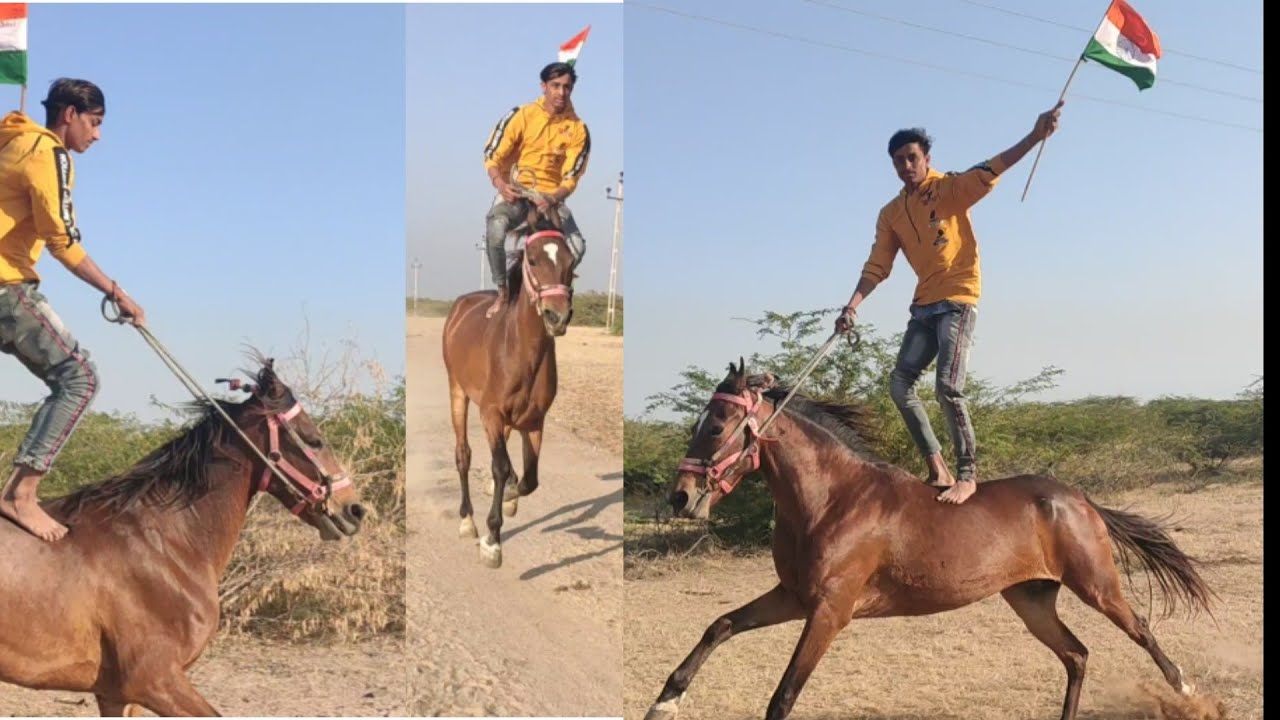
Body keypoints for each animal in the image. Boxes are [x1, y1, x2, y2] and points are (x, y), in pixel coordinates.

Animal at [441, 202, 576, 569]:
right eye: (533, 259)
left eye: (570, 262)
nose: (557, 316)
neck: (520, 351)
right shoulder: (490, 412)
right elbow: (500, 467)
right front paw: (492, 540)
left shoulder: (535, 420)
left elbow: (530, 479)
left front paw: (511, 496)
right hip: (457, 391)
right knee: (463, 454)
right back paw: (467, 519)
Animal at [644, 359, 1215, 720]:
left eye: (716, 425)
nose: (680, 497)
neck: (834, 499)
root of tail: (1080, 499)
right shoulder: (793, 596)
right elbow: (719, 625)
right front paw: (664, 701)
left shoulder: (829, 610)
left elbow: (782, 697)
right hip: (1030, 598)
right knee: (1076, 655)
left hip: (1095, 584)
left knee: (1140, 629)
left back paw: (1190, 691)